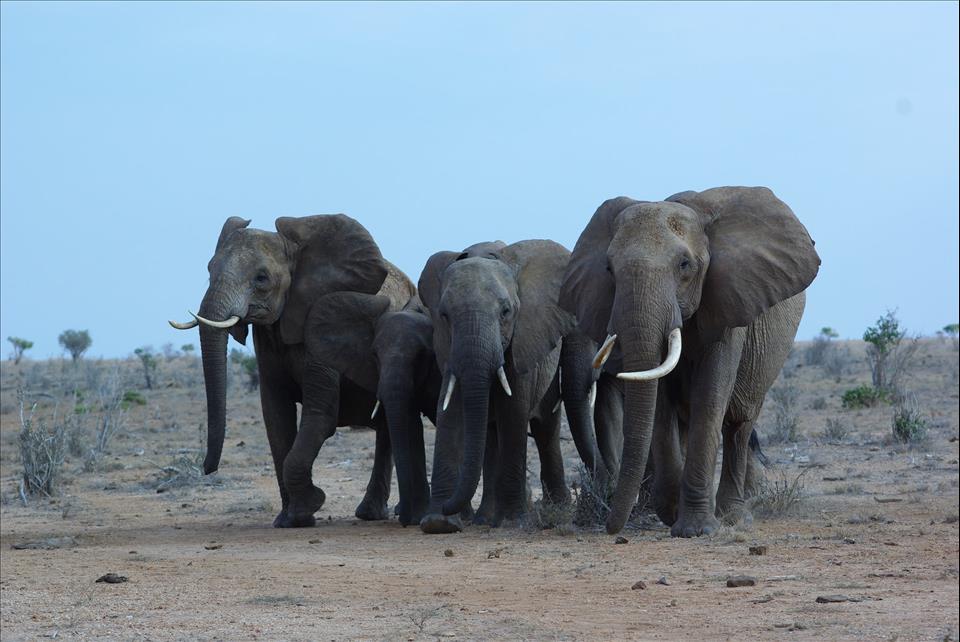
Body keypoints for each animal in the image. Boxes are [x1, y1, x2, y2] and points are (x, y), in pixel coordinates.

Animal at [169, 214, 418, 527]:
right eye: (210, 269)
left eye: (261, 278)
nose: (207, 469)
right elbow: (276, 418)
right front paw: (287, 520)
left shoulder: (320, 323)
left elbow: (319, 415)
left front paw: (308, 508)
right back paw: (370, 513)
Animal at [416, 240, 579, 533]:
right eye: (444, 315)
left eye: (506, 312)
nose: (449, 508)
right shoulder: (447, 348)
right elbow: (450, 412)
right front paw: (437, 523)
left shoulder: (522, 338)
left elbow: (513, 413)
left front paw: (514, 521)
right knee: (491, 434)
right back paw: (486, 519)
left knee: (544, 428)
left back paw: (554, 509)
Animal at [559, 187, 820, 537]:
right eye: (609, 269)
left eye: (685, 265)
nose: (611, 528)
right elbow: (658, 398)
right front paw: (670, 512)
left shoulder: (728, 300)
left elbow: (710, 395)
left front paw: (695, 530)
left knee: (739, 424)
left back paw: (734, 517)